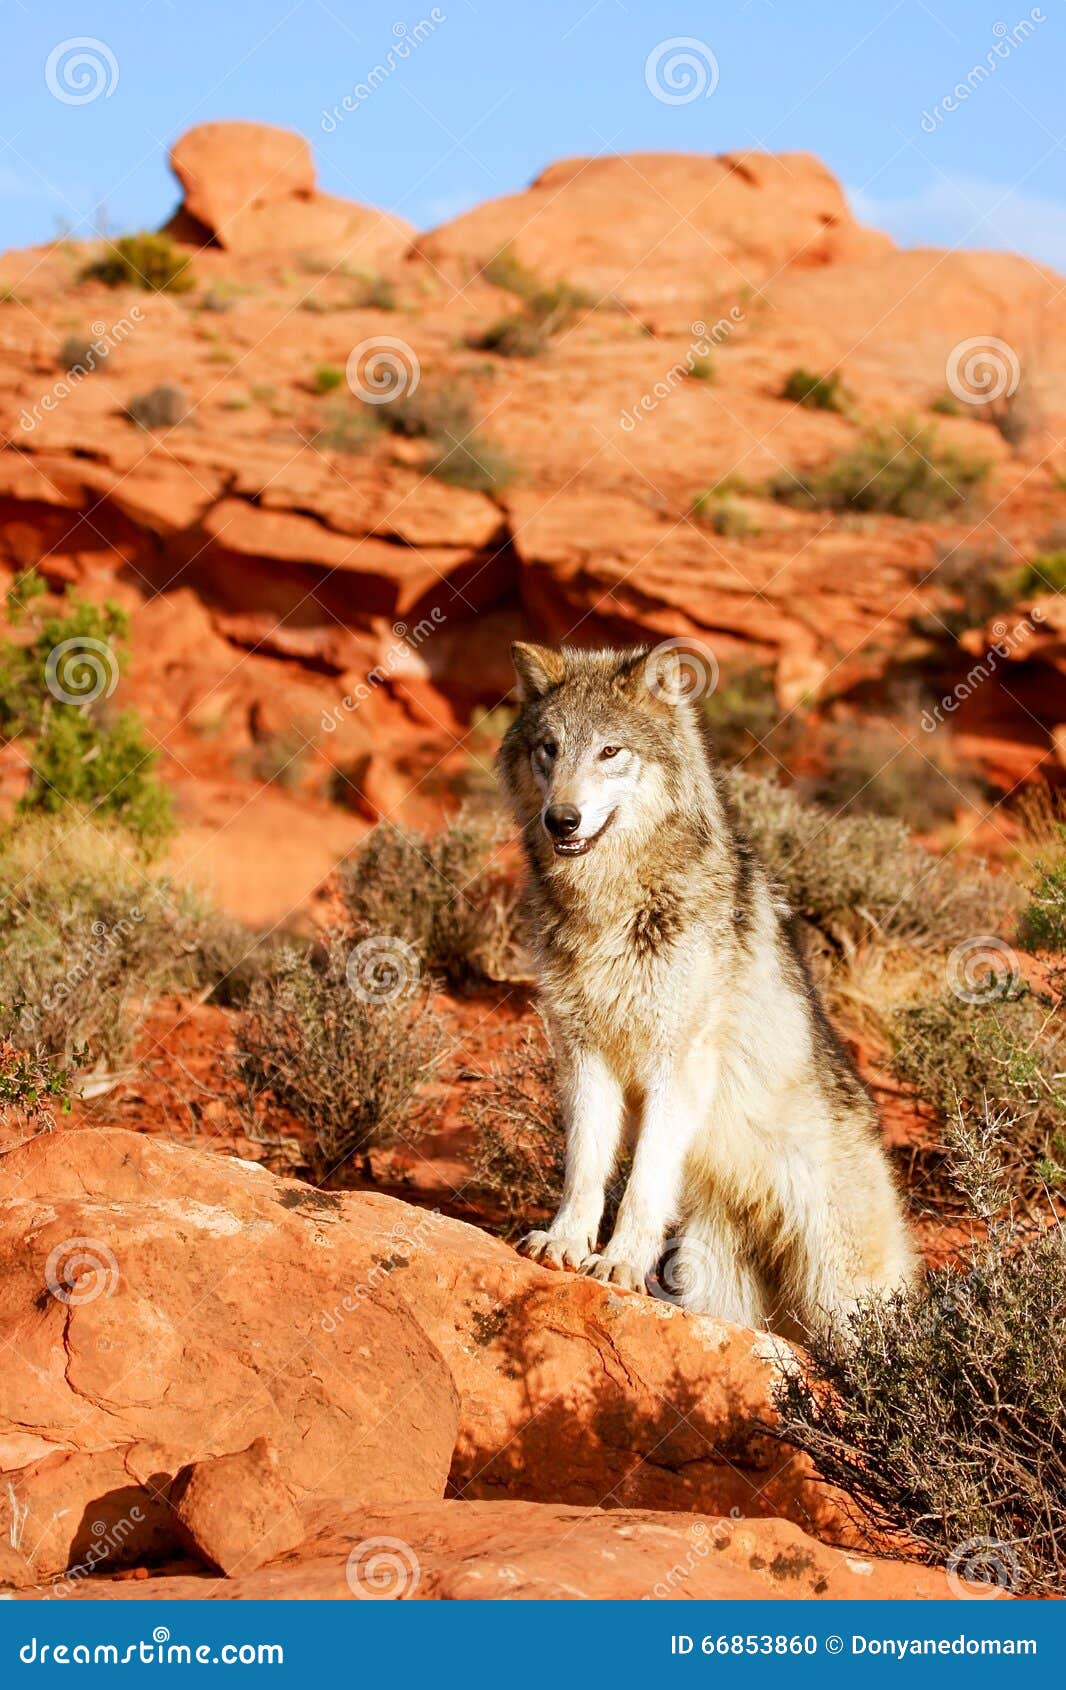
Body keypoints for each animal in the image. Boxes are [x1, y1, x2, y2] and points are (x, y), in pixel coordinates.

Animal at [497, 641, 916, 1335]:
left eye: (610, 751)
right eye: (549, 749)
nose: (562, 820)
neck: (613, 905)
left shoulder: (679, 1060)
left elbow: (642, 1185)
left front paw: (617, 1262)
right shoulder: (584, 1053)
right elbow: (585, 1167)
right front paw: (564, 1242)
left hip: (839, 1297)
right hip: (708, 1278)